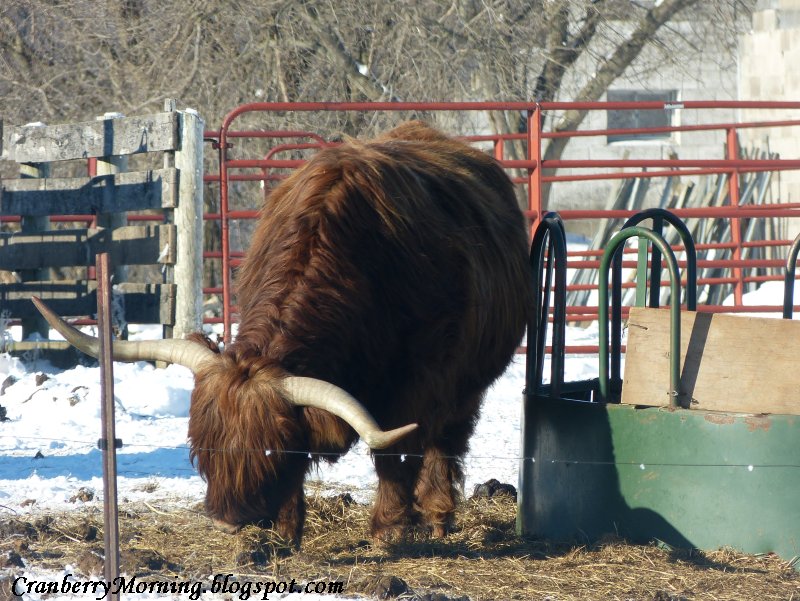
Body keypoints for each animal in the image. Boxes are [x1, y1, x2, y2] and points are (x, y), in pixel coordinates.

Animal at [33, 121, 533, 545]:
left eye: (267, 452)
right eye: (201, 441)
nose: (226, 522)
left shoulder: (415, 383)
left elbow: (395, 455)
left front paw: (388, 529)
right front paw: (286, 532)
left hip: (467, 383)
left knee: (446, 440)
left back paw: (438, 514)